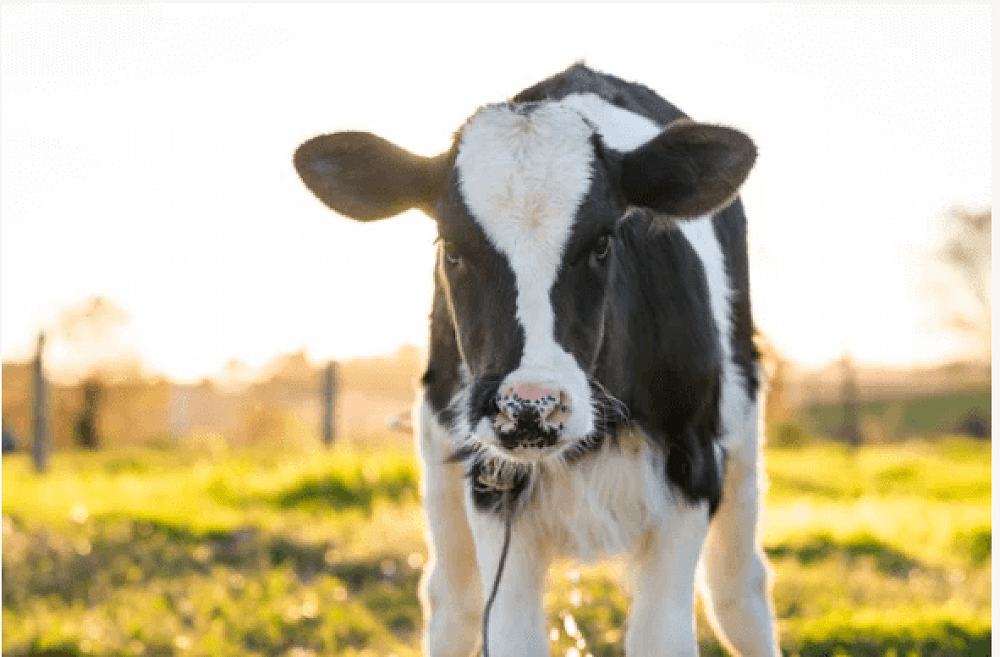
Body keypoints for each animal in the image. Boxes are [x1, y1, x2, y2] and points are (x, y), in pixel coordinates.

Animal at [294, 63, 780, 657]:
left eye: (602, 241)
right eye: (451, 247)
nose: (530, 406)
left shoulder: (691, 474)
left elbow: (663, 635)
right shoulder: (490, 490)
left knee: (738, 590)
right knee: (452, 602)